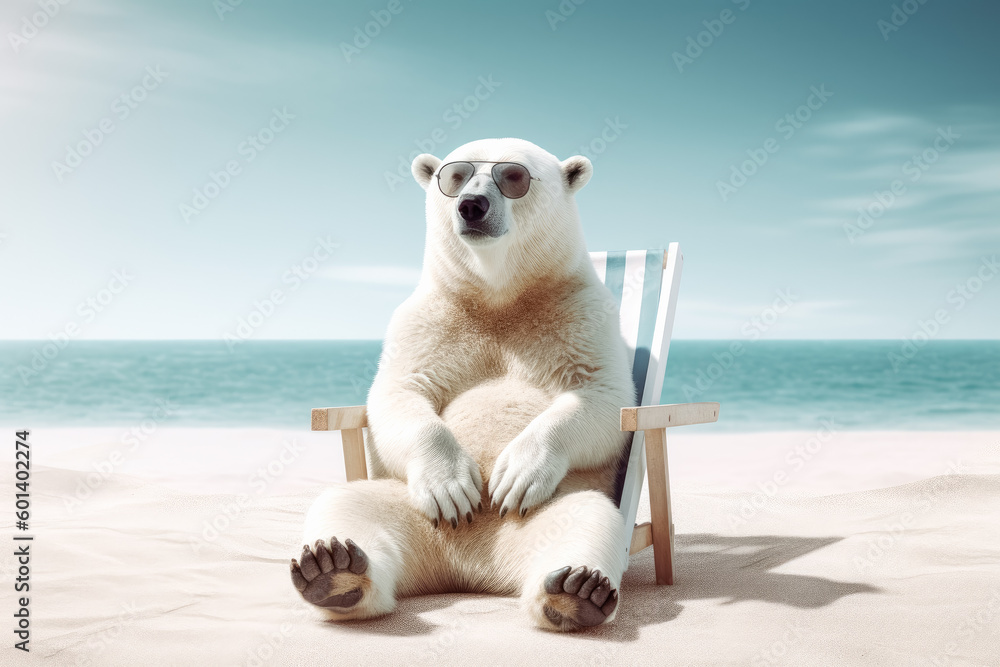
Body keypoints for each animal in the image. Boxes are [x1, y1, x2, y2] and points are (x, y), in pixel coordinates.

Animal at [291, 138, 636, 631]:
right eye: (455, 177)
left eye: (514, 176)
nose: (472, 205)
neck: (500, 298)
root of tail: (473, 569)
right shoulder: (427, 318)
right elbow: (399, 392)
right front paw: (451, 487)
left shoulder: (583, 312)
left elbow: (604, 397)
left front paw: (515, 474)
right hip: (408, 507)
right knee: (346, 505)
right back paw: (331, 568)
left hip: (545, 510)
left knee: (585, 518)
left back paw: (577, 590)